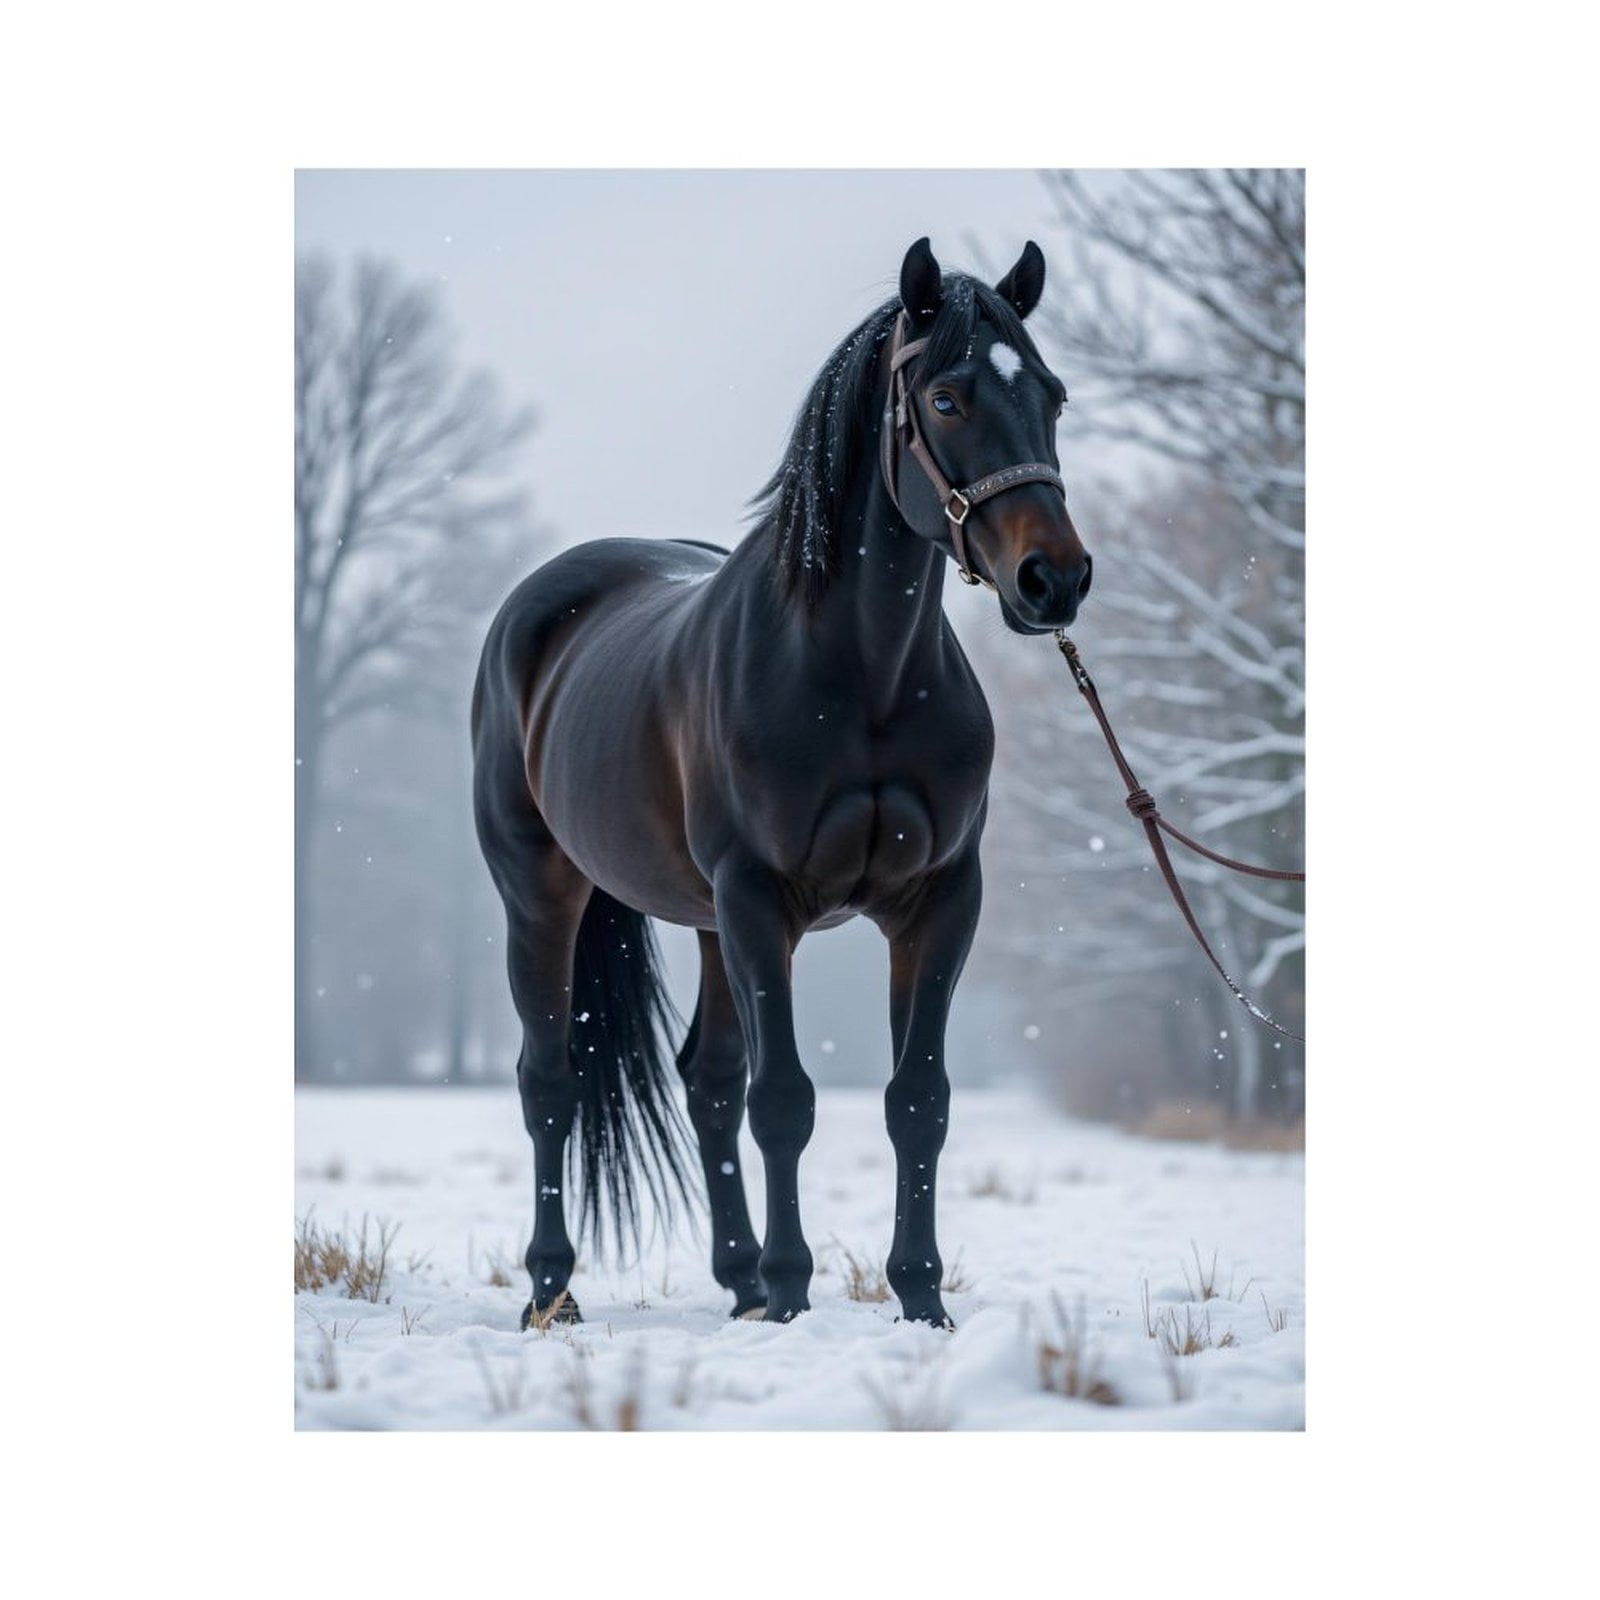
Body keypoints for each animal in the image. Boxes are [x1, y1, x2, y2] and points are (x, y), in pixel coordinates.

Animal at [471, 237, 1092, 1329]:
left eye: (1051, 395)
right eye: (945, 398)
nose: (1054, 580)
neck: (863, 676)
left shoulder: (941, 900)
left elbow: (916, 1099)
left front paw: (918, 1298)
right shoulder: (761, 897)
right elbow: (787, 1099)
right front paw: (799, 1294)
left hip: (707, 921)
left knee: (706, 1079)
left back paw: (740, 1280)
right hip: (544, 892)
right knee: (549, 1082)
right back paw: (553, 1291)